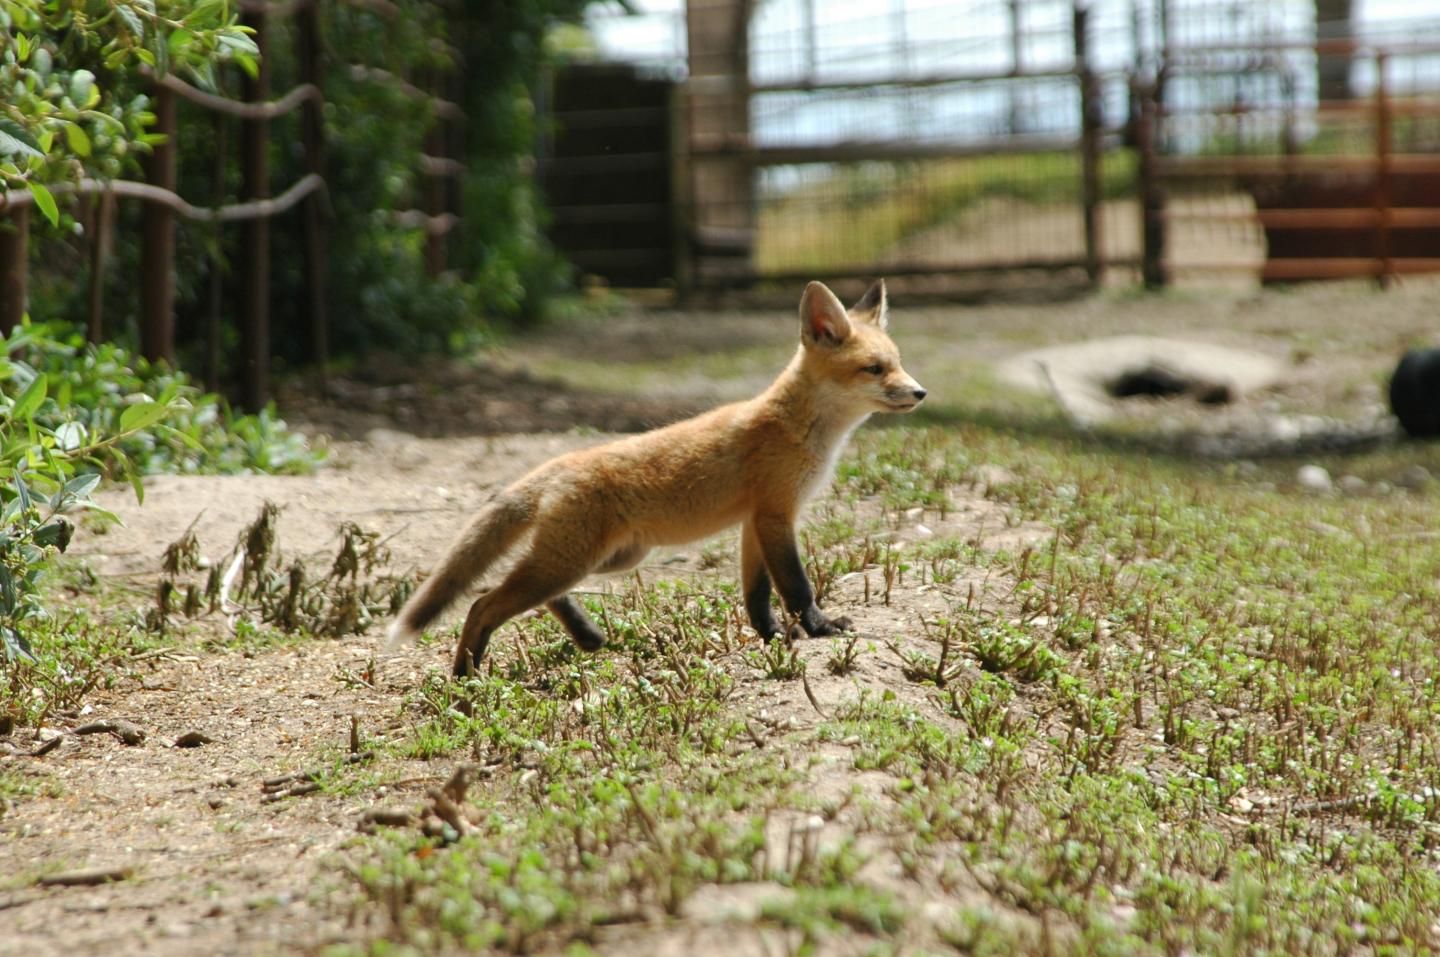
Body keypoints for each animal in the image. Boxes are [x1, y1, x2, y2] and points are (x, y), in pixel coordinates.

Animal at [386, 279, 927, 677]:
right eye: (874, 369)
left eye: (898, 363)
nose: (921, 393)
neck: (802, 430)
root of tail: (560, 464)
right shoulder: (776, 515)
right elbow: (796, 586)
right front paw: (818, 627)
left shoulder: (754, 522)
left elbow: (757, 596)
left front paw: (773, 637)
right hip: (576, 560)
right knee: (482, 604)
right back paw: (466, 678)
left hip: (608, 558)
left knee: (505, 591)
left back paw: (582, 636)